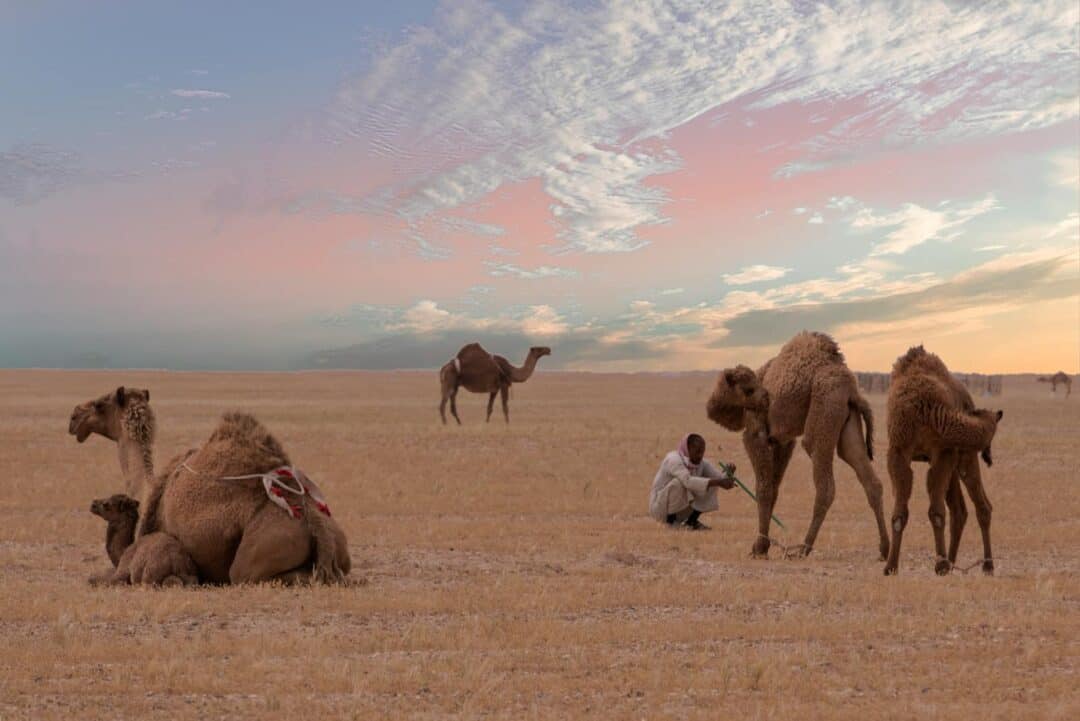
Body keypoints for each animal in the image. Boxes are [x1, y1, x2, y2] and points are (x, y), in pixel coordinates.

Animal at [70, 387, 351, 585]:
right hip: (340, 551)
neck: (150, 487)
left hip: (255, 556)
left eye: (99, 405)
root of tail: (319, 527)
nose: (74, 418)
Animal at [706, 332, 890, 560]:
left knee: (824, 483)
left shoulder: (756, 433)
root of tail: (853, 390)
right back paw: (885, 548)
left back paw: (803, 548)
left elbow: (763, 489)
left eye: (750, 389)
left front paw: (759, 547)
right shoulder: (782, 441)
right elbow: (774, 488)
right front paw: (763, 545)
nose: (766, 400)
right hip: (848, 421)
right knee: (869, 478)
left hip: (825, 407)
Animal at [883, 346, 1003, 576]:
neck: (926, 411)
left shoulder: (942, 452)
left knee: (982, 507)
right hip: (956, 462)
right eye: (993, 433)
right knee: (960, 510)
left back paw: (986, 565)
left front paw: (939, 565)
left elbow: (936, 512)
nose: (989, 455)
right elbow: (899, 514)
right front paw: (890, 566)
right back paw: (952, 561)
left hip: (963, 458)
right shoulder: (898, 451)